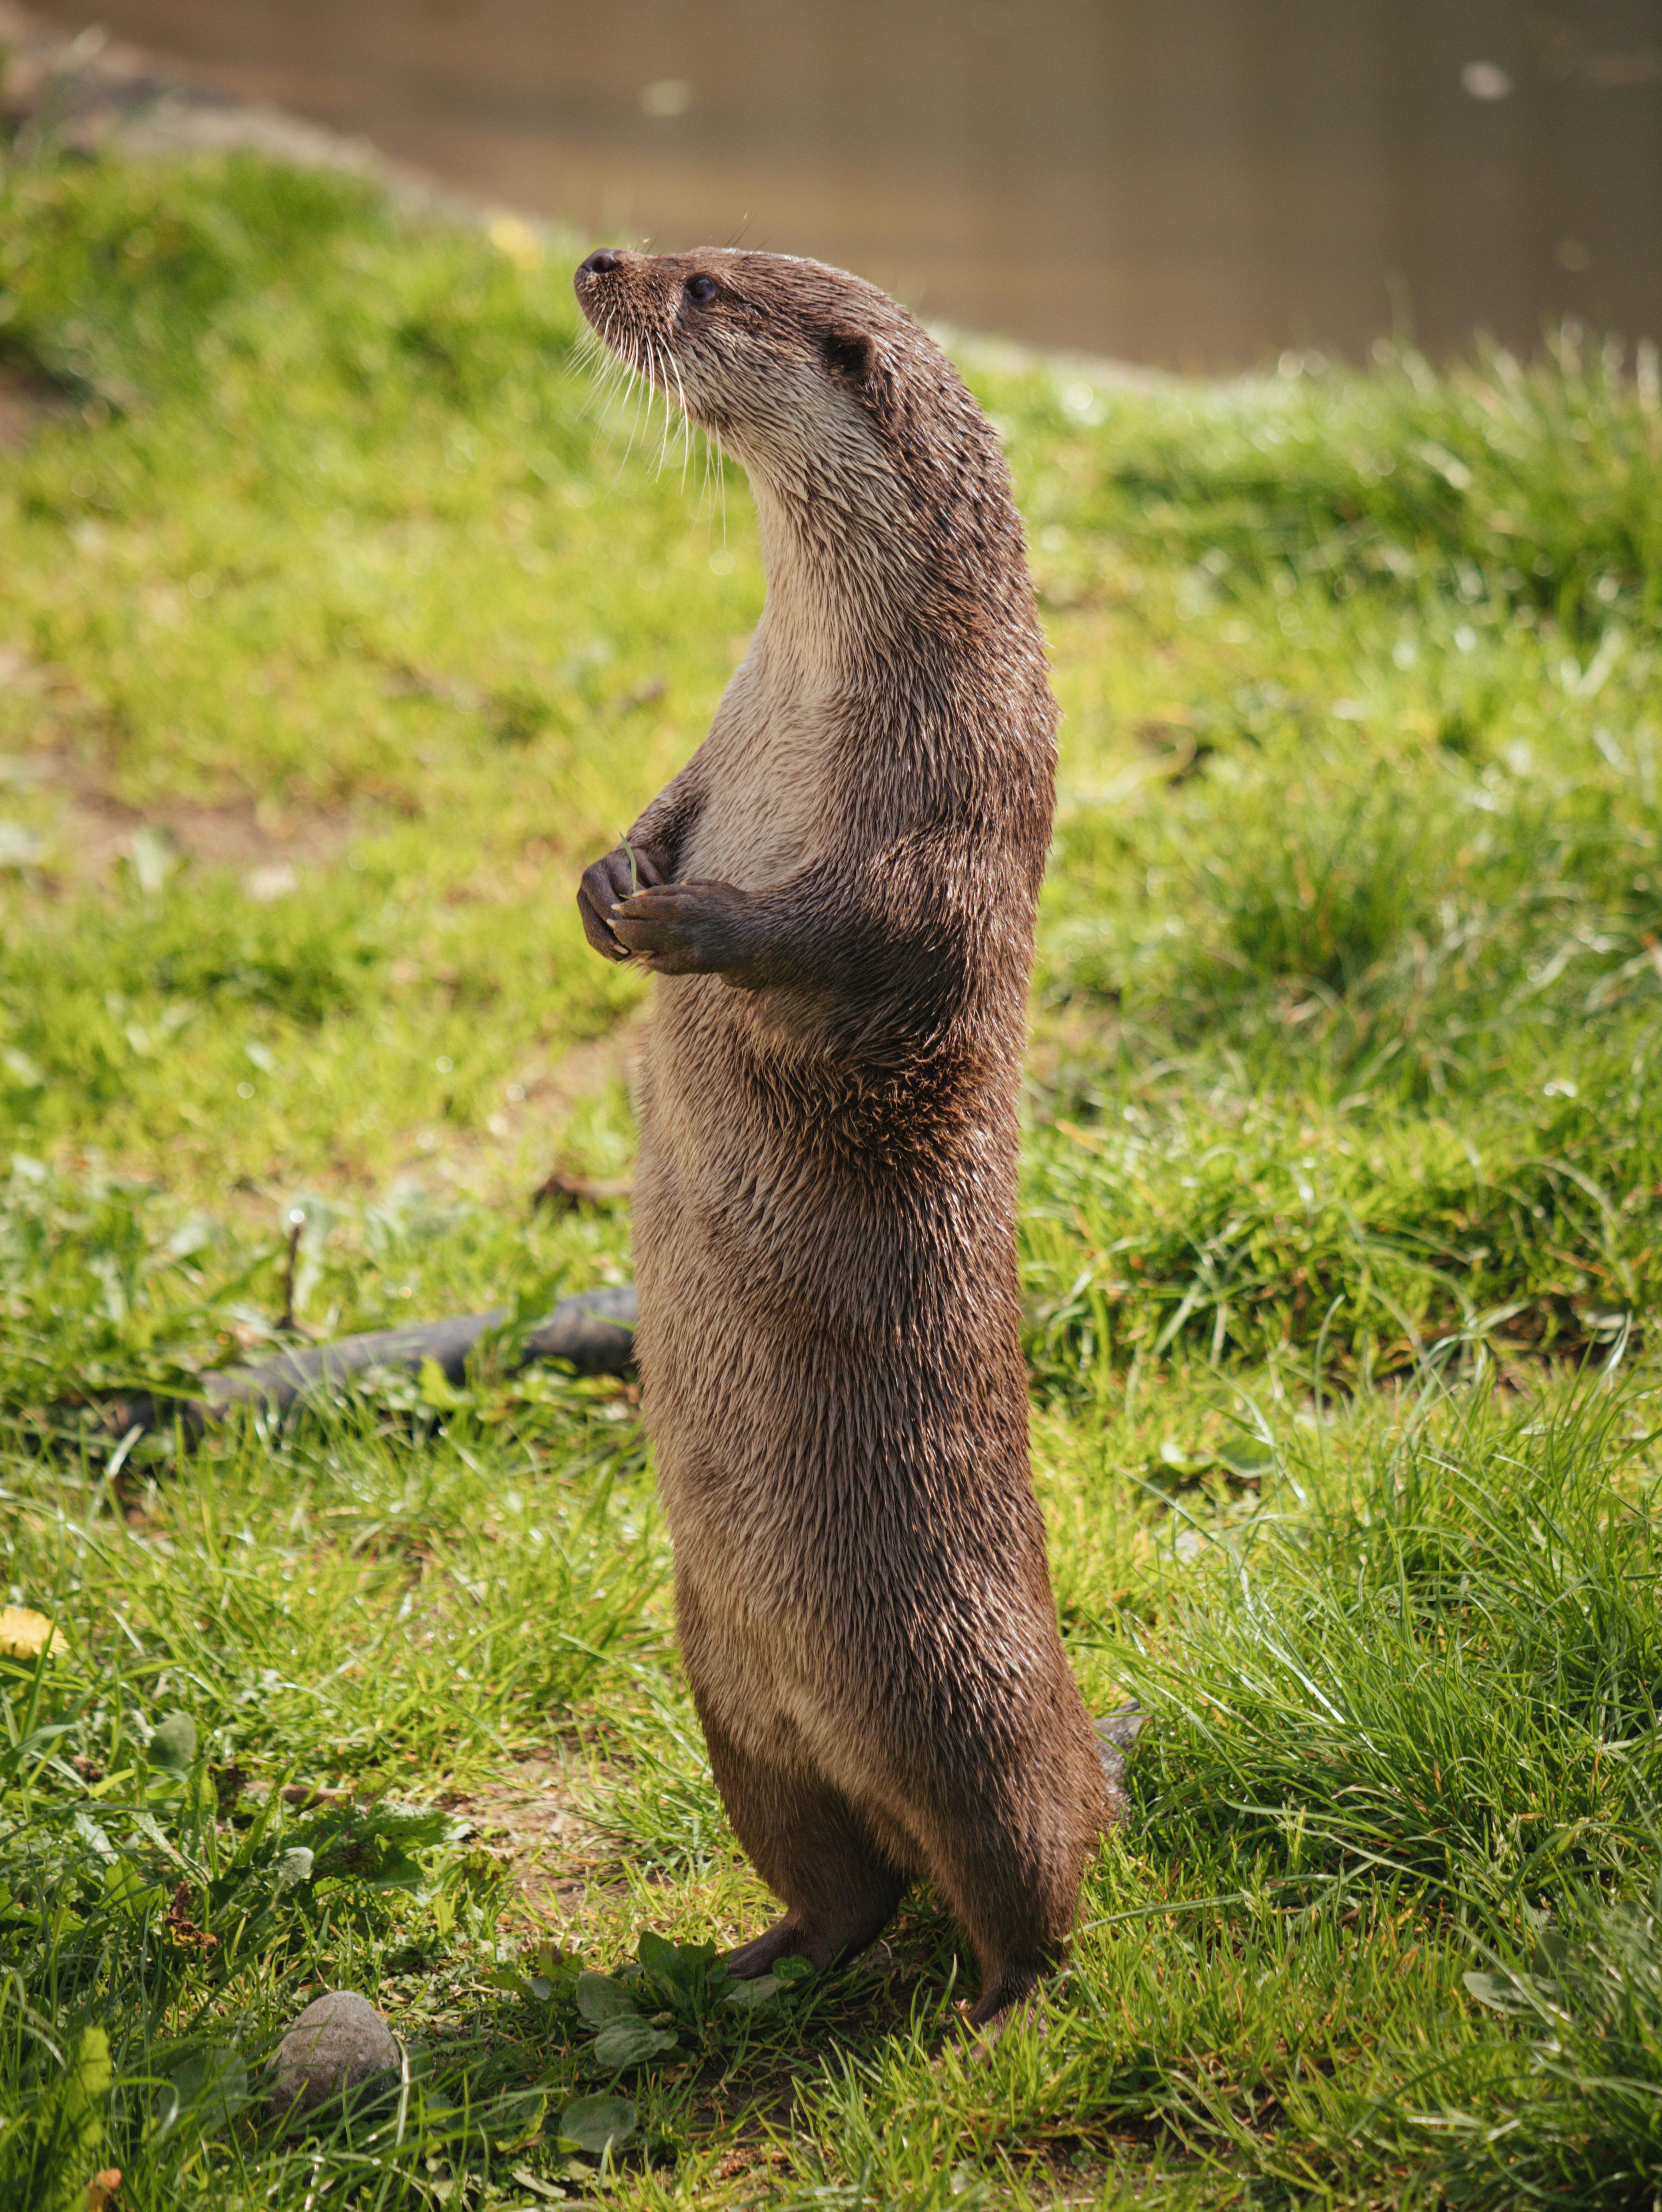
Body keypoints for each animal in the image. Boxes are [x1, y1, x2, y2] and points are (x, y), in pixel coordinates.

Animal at [572, 245, 1116, 2028]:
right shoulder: (719, 723)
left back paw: (998, 2015)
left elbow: (878, 941)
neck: (814, 689)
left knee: (1029, 1877)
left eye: (697, 282)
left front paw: (693, 922)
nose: (596, 263)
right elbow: (663, 801)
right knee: (845, 1882)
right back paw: (752, 1958)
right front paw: (612, 879)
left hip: (966, 1697)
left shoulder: (962, 802)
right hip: (720, 1692)